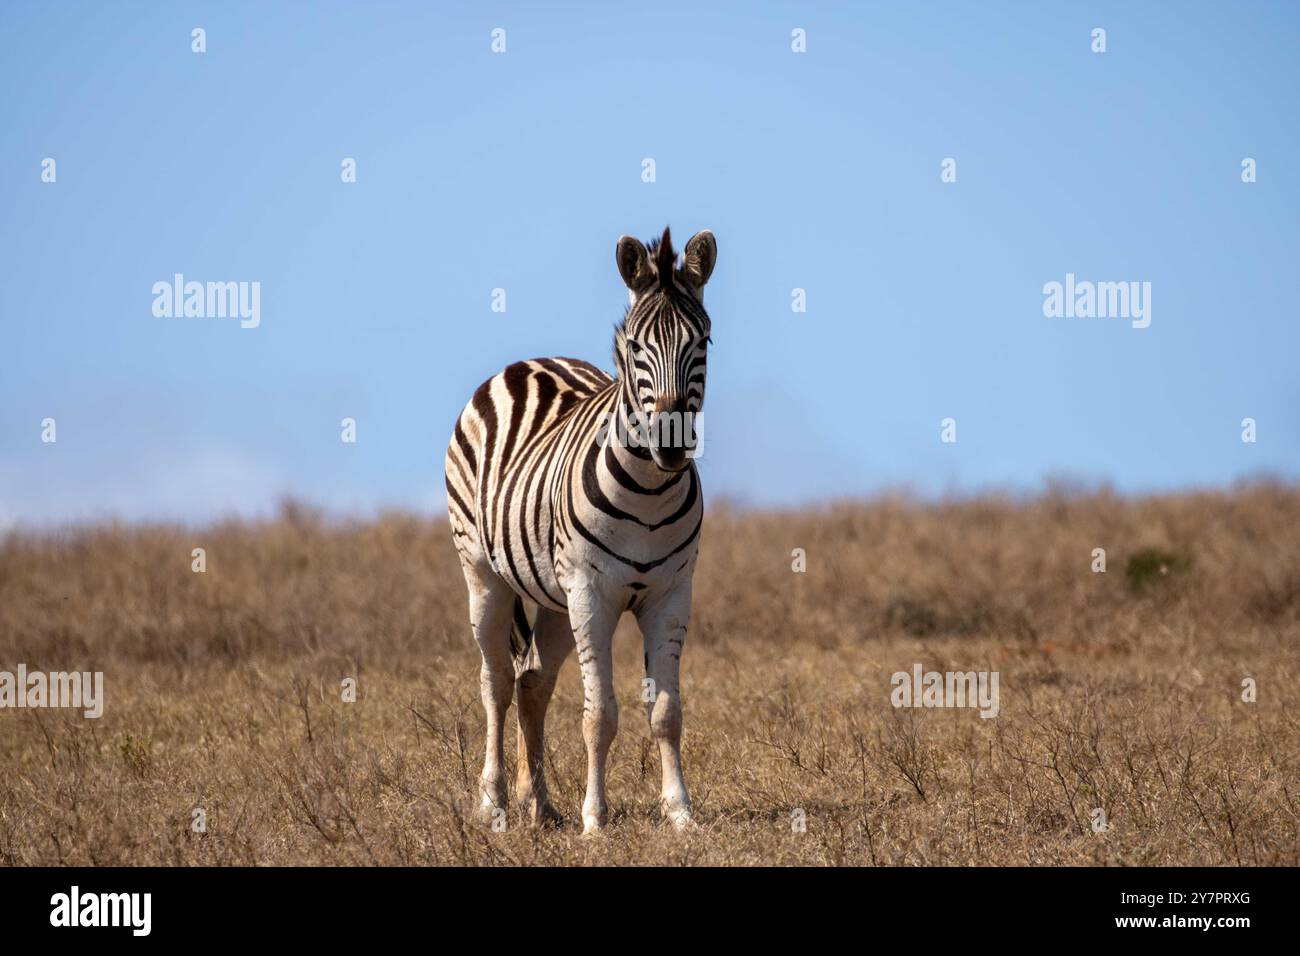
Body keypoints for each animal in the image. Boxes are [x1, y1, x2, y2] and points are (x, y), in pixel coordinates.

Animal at [444, 226, 716, 834]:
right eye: (636, 348)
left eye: (703, 343)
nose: (669, 446)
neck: (649, 490)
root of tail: (530, 361)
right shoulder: (593, 594)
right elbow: (599, 716)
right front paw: (596, 819)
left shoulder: (671, 593)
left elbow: (667, 711)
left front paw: (681, 813)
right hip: (484, 575)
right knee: (495, 683)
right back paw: (493, 802)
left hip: (553, 596)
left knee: (532, 682)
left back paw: (539, 805)